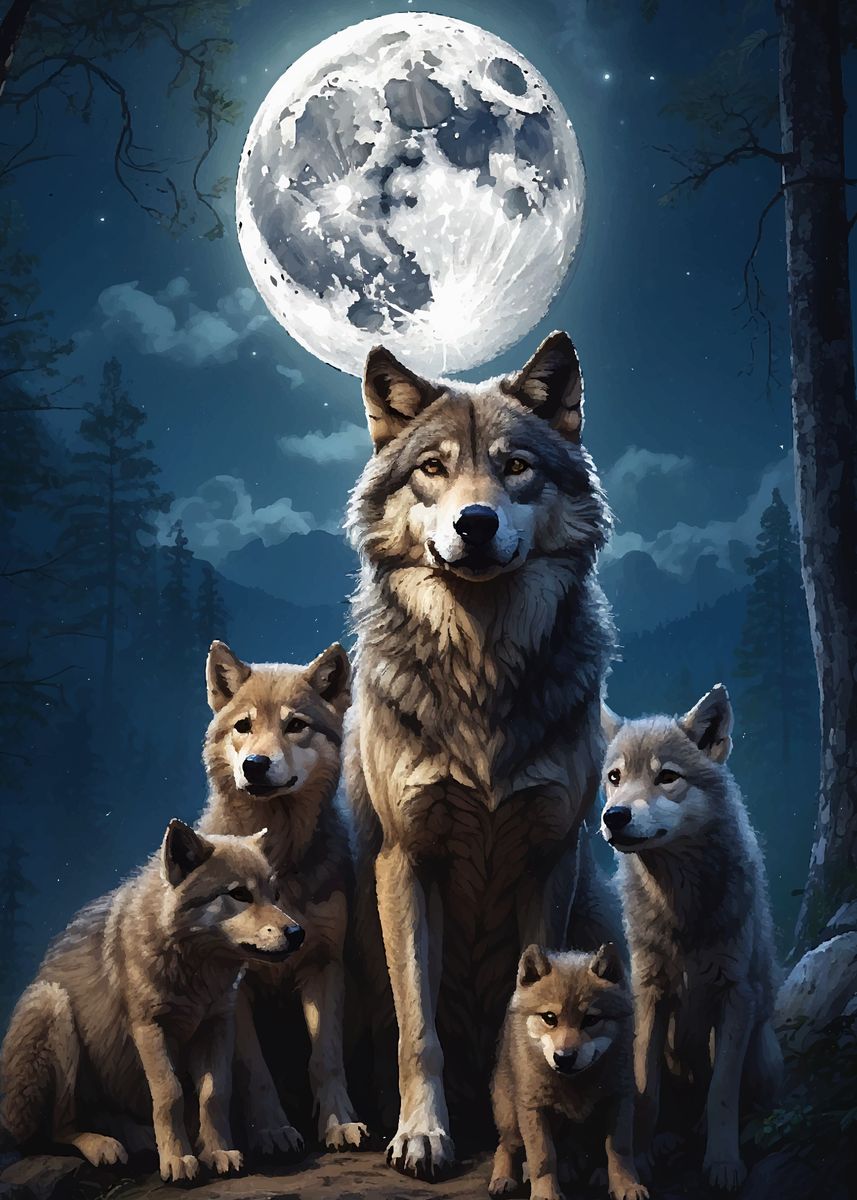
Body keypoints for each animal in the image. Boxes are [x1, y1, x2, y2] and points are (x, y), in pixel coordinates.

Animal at [0, 820, 304, 1181]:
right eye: (240, 894)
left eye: (275, 895)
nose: (297, 933)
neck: (193, 970)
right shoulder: (150, 1027)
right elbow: (169, 1093)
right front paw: (177, 1159)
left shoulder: (216, 1025)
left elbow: (214, 1093)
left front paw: (218, 1152)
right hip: (53, 1004)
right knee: (56, 1129)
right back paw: (105, 1146)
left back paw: (139, 1138)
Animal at [197, 640, 368, 1153]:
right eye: (244, 726)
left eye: (295, 725)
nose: (255, 765)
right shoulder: (236, 987)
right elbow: (254, 1070)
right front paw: (272, 1131)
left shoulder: (324, 964)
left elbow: (325, 1058)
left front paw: (338, 1123)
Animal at [344, 330, 616, 1176]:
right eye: (432, 467)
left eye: (515, 466)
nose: (474, 522)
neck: (481, 665)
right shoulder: (404, 860)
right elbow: (418, 1028)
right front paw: (421, 1135)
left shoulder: (549, 856)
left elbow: (532, 999)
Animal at [490, 943, 647, 1200]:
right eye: (549, 1018)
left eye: (591, 1019)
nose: (564, 1058)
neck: (575, 1083)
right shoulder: (533, 1109)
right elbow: (542, 1157)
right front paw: (545, 1193)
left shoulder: (618, 1099)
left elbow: (619, 1149)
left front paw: (627, 1185)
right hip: (512, 1121)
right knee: (504, 1145)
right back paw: (502, 1178)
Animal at [600, 685, 782, 1191]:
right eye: (615, 777)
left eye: (666, 776)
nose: (613, 816)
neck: (678, 905)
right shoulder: (649, 995)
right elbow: (646, 1089)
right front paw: (641, 1157)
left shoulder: (736, 995)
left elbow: (722, 1091)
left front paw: (723, 1163)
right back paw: (665, 1139)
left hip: (762, 1046)